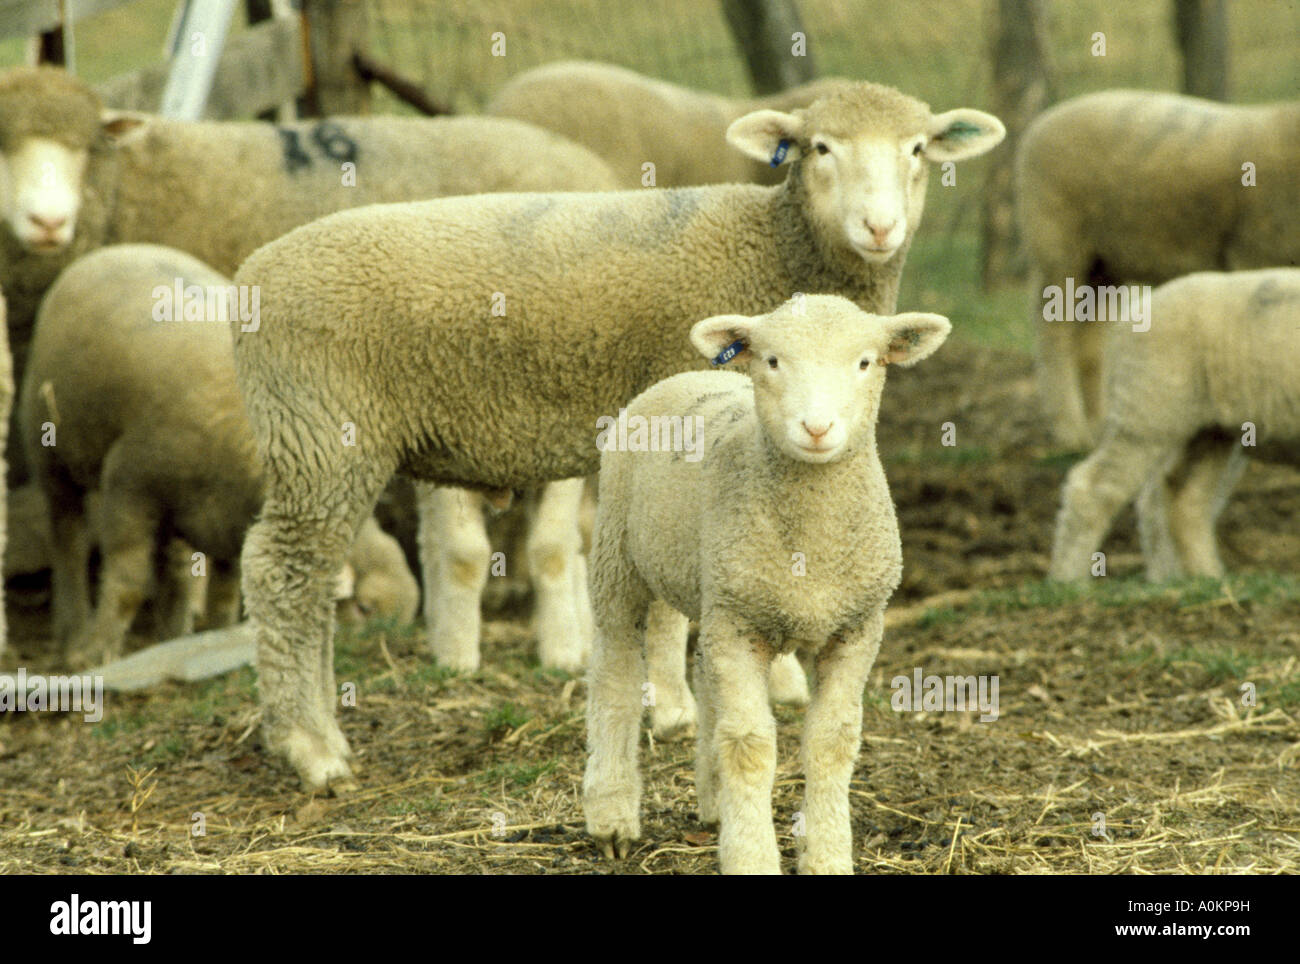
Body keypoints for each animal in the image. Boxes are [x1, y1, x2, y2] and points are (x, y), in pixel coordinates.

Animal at [18, 244, 417, 668]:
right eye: (364, 608)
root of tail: (121, 249)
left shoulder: (228, 525)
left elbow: (225, 595)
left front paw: (215, 638)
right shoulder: (129, 484)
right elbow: (127, 580)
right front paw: (96, 653)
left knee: (174, 561)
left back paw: (172, 630)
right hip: (51, 447)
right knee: (68, 538)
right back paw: (73, 628)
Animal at [231, 80, 1004, 790]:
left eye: (917, 150)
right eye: (820, 148)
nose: (880, 227)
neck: (774, 248)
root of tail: (249, 277)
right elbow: (667, 605)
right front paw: (678, 708)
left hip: (324, 439)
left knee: (313, 581)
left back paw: (324, 730)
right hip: (321, 431)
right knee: (280, 575)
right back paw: (309, 748)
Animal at [583, 295, 950, 873]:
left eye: (866, 362)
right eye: (773, 361)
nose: (817, 427)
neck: (812, 548)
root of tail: (687, 375)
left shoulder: (854, 627)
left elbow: (831, 742)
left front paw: (827, 855)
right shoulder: (739, 628)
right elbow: (749, 747)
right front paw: (752, 856)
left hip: (713, 586)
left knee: (700, 668)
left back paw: (714, 804)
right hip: (618, 555)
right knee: (614, 674)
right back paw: (612, 814)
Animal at [1016, 89, 1300, 449]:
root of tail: (1041, 123)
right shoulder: (1253, 254)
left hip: (1102, 263)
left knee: (1089, 342)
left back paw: (1096, 427)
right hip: (1057, 243)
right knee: (1054, 336)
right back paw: (1070, 431)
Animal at [1049, 268, 1300, 583]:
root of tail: (1136, 308)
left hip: (1209, 429)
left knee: (1185, 498)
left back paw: (1204, 578)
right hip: (1148, 410)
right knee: (1092, 489)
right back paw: (1068, 580)